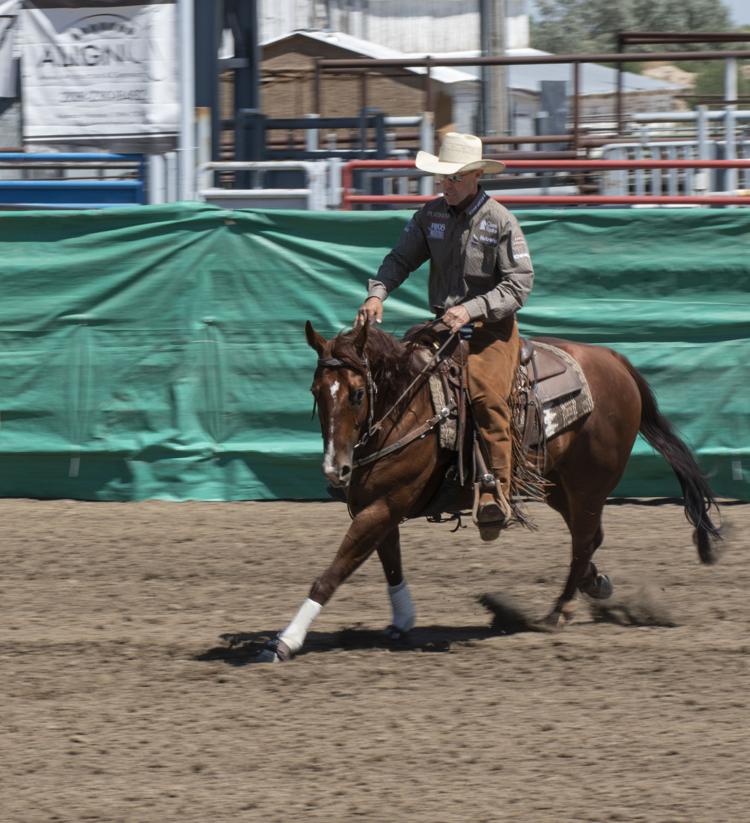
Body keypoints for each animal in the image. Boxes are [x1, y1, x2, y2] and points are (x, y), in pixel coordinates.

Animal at [257, 319, 720, 662]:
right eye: (317, 392)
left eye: (356, 394)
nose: (334, 469)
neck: (409, 406)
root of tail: (616, 361)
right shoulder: (376, 505)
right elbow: (391, 564)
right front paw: (402, 621)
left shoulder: (386, 504)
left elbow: (332, 573)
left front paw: (284, 642)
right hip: (559, 486)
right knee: (588, 539)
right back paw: (594, 585)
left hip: (588, 485)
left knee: (583, 542)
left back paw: (558, 612)